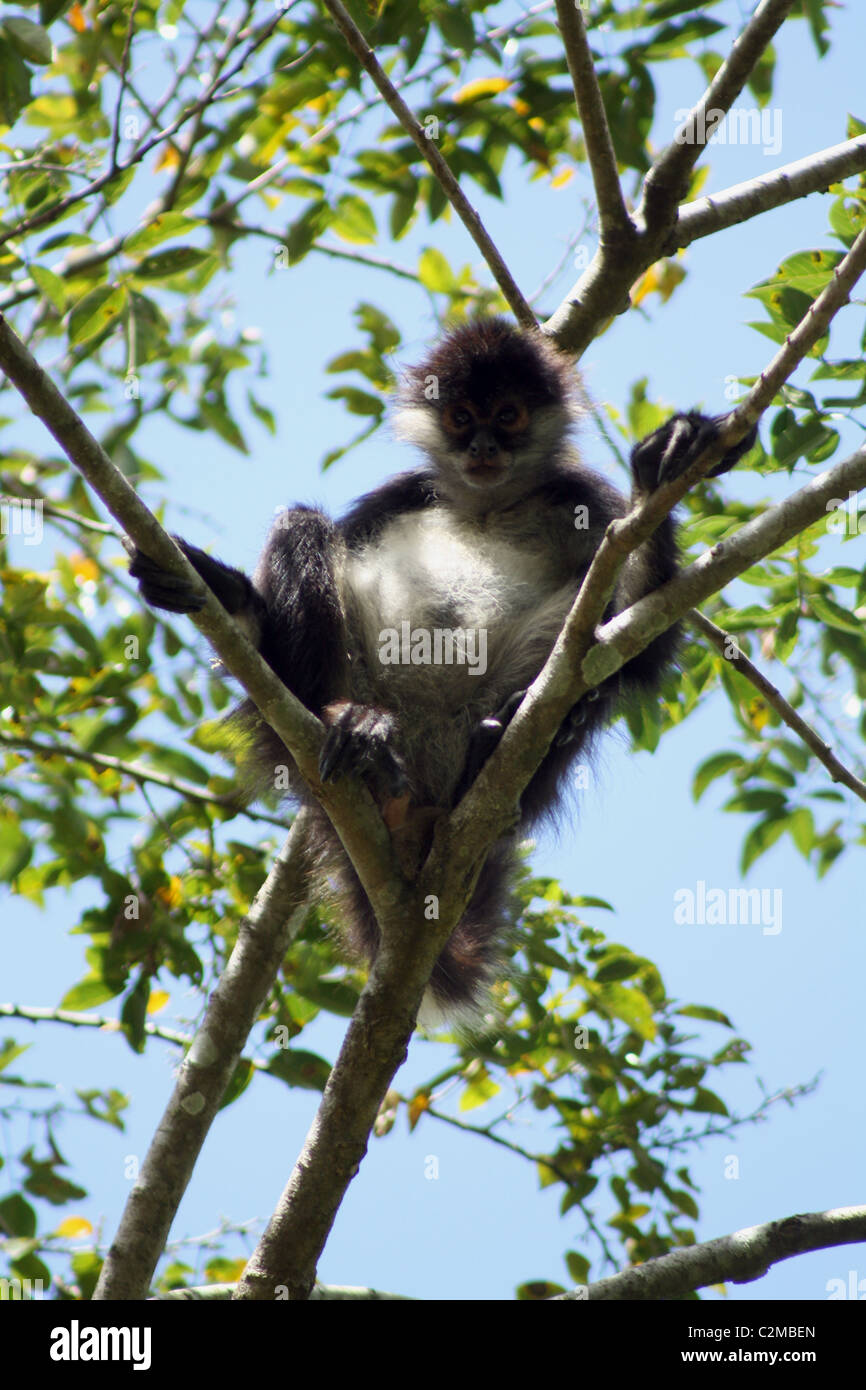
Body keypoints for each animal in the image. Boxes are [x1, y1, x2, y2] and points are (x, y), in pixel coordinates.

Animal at [129, 318, 755, 1026]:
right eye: (461, 418)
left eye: (507, 415)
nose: (482, 444)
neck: (488, 503)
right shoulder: (404, 490)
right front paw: (228, 593)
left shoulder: (580, 497)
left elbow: (639, 647)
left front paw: (661, 468)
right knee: (301, 527)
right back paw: (347, 722)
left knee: (578, 652)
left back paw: (507, 739)